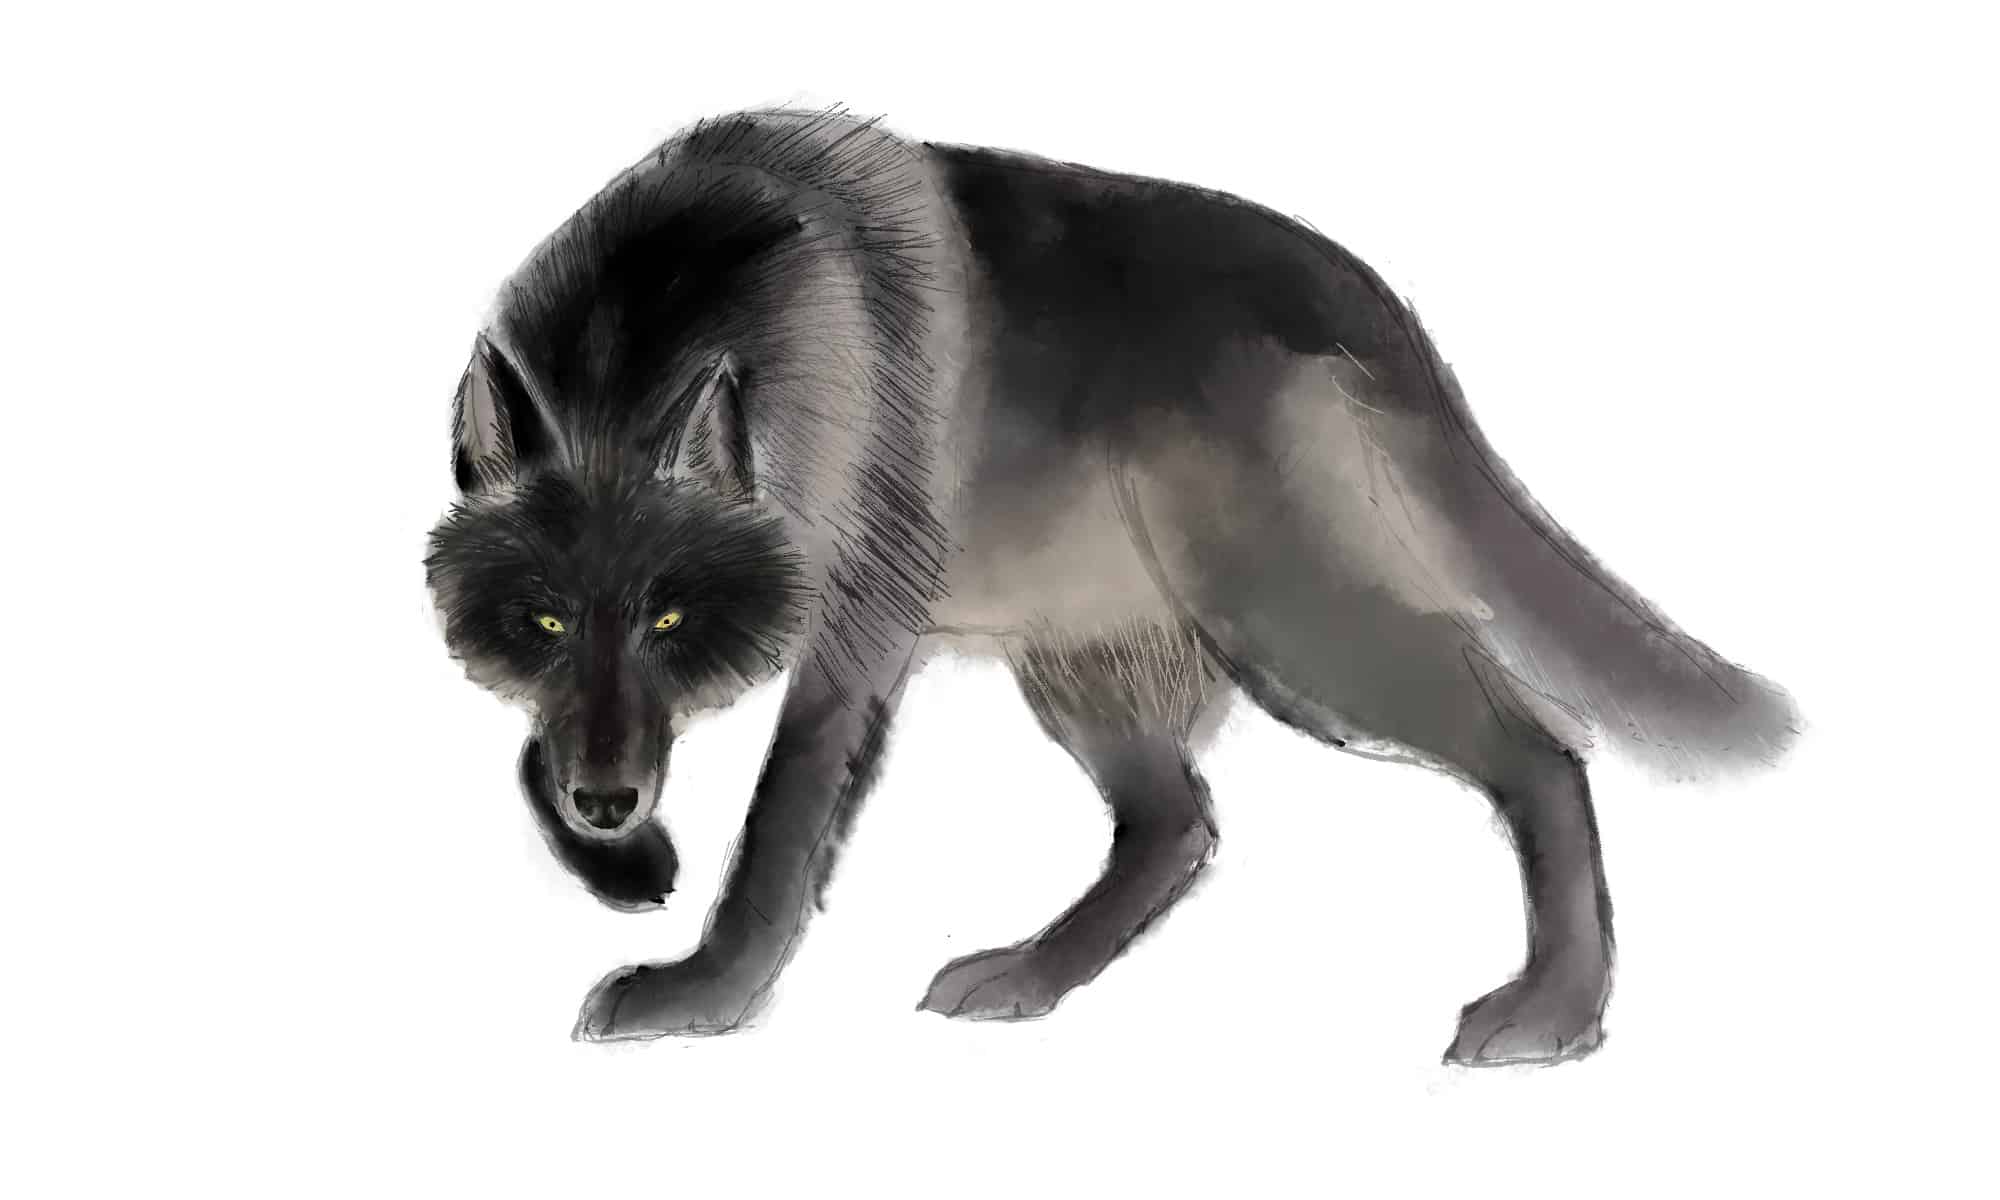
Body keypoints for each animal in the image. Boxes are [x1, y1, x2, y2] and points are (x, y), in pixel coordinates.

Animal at [424, 108, 1797, 1065]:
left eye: (669, 619)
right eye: (544, 622)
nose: (612, 804)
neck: (652, 333)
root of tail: (1372, 300)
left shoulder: (853, 645)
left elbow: (773, 840)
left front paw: (702, 997)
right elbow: (537, 756)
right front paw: (628, 862)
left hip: (1296, 638)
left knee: (1541, 750)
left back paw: (1552, 1013)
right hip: (1089, 670)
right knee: (1177, 823)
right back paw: (1026, 980)